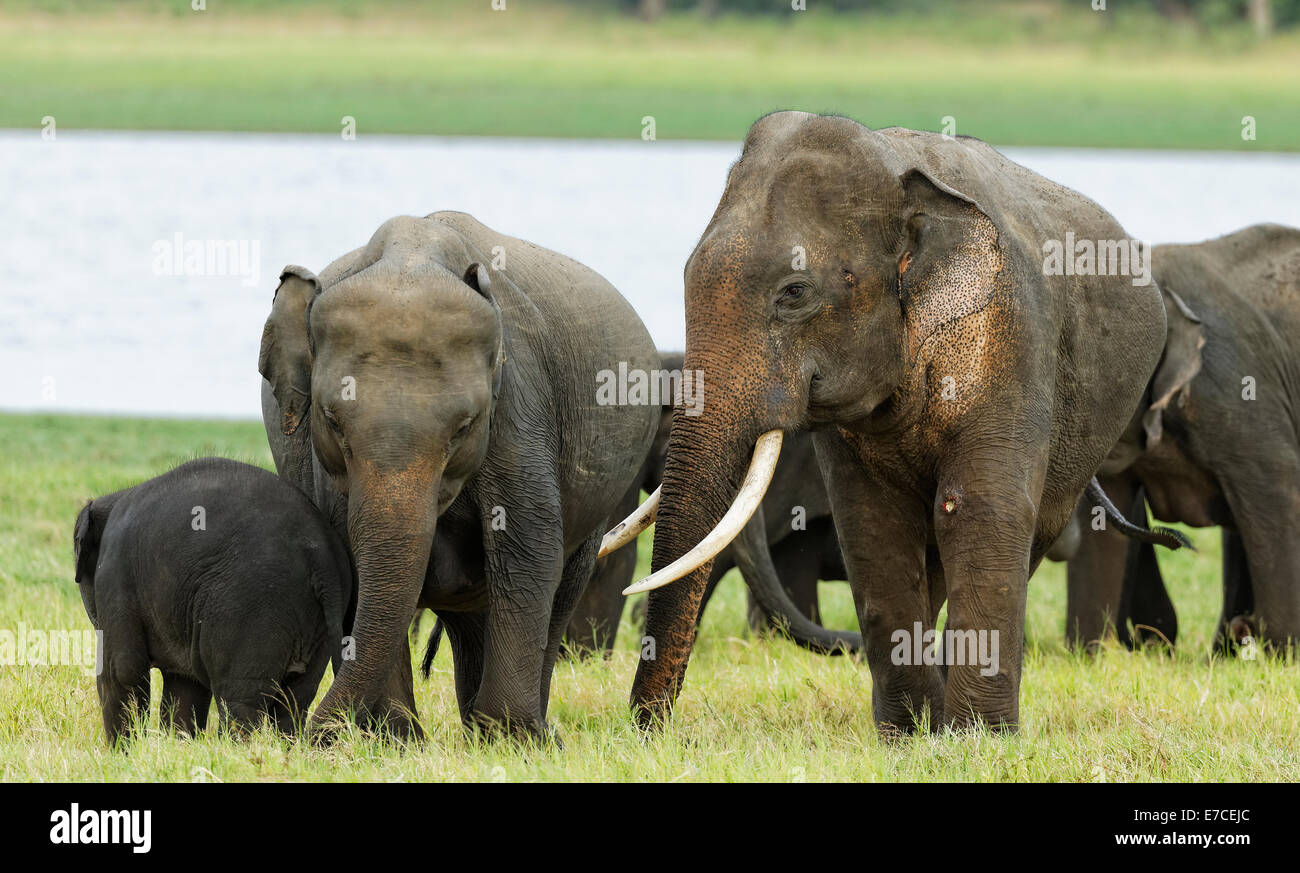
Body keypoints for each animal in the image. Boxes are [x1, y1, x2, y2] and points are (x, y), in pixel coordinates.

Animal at [73, 458, 353, 746]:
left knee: (239, 700)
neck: (113, 498)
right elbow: (184, 685)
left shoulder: (116, 575)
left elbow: (121, 670)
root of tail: (321, 558)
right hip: (318, 623)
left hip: (250, 610)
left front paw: (124, 752)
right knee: (294, 701)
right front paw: (178, 745)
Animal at [262, 211, 658, 741]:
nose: (311, 733)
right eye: (332, 421)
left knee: (562, 582)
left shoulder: (518, 405)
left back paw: (517, 731)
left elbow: (528, 545)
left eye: (466, 425)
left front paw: (514, 737)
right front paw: (392, 741)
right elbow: (352, 559)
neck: (412, 256)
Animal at [612, 112, 1186, 735]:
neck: (897, 174)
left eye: (795, 292)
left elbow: (980, 506)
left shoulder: (1011, 336)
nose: (648, 728)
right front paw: (907, 734)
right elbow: (872, 520)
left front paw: (976, 737)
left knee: (1031, 529)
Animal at [1063, 224, 1300, 654]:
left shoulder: (1238, 392)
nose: (1179, 541)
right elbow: (1101, 521)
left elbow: (1277, 490)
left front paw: (1280, 650)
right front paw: (1093, 654)